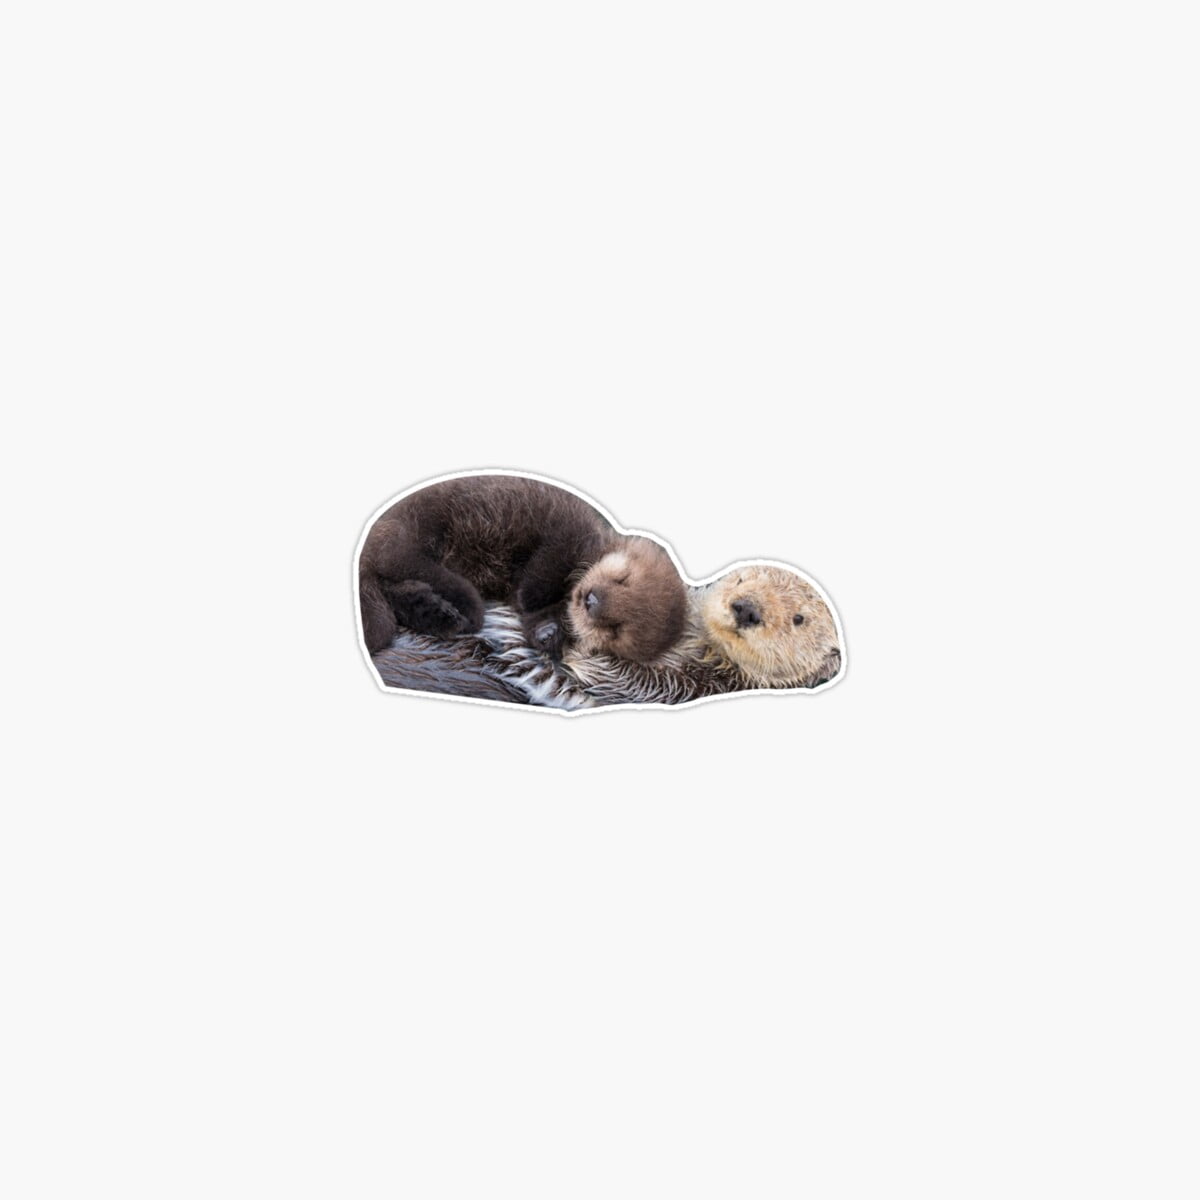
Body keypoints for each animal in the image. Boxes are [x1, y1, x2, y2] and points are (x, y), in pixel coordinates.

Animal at [359, 475, 687, 662]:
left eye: (615, 628)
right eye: (623, 580)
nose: (591, 599)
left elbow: (537, 618)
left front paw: (548, 635)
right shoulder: (570, 531)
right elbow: (547, 563)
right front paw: (528, 596)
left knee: (396, 588)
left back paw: (438, 613)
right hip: (414, 529)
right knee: (401, 563)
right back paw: (459, 609)